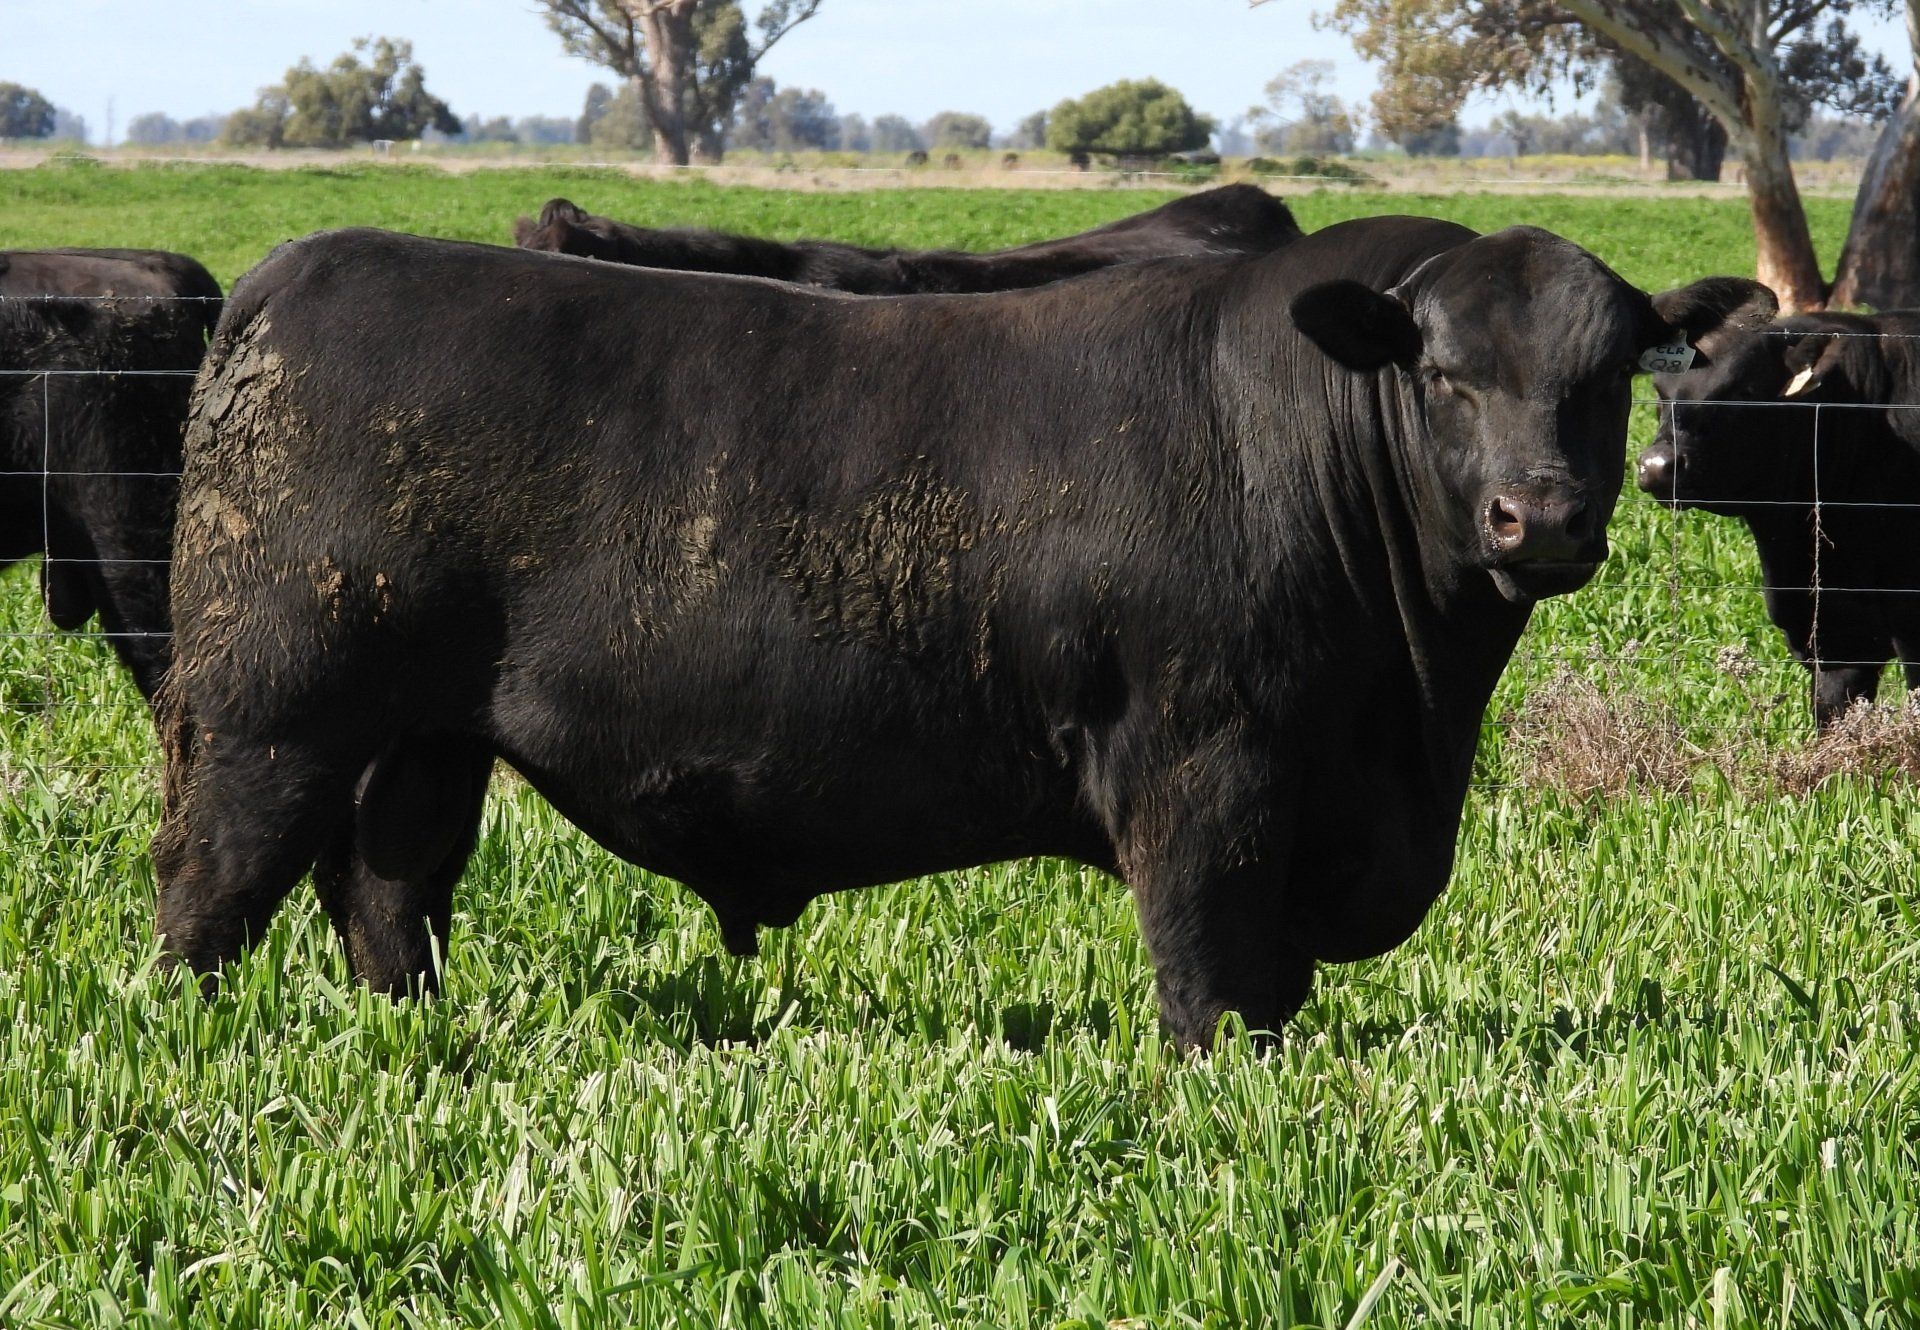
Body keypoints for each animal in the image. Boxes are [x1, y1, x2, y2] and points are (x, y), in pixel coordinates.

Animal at [153, 218, 1671, 1046]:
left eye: (1610, 376)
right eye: (1446, 373)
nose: (1537, 515)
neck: (1415, 718)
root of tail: (291, 282)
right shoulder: (1207, 769)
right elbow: (1211, 970)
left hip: (421, 729)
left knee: (387, 884)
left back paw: (412, 1027)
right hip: (267, 710)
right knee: (212, 878)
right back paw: (188, 1032)